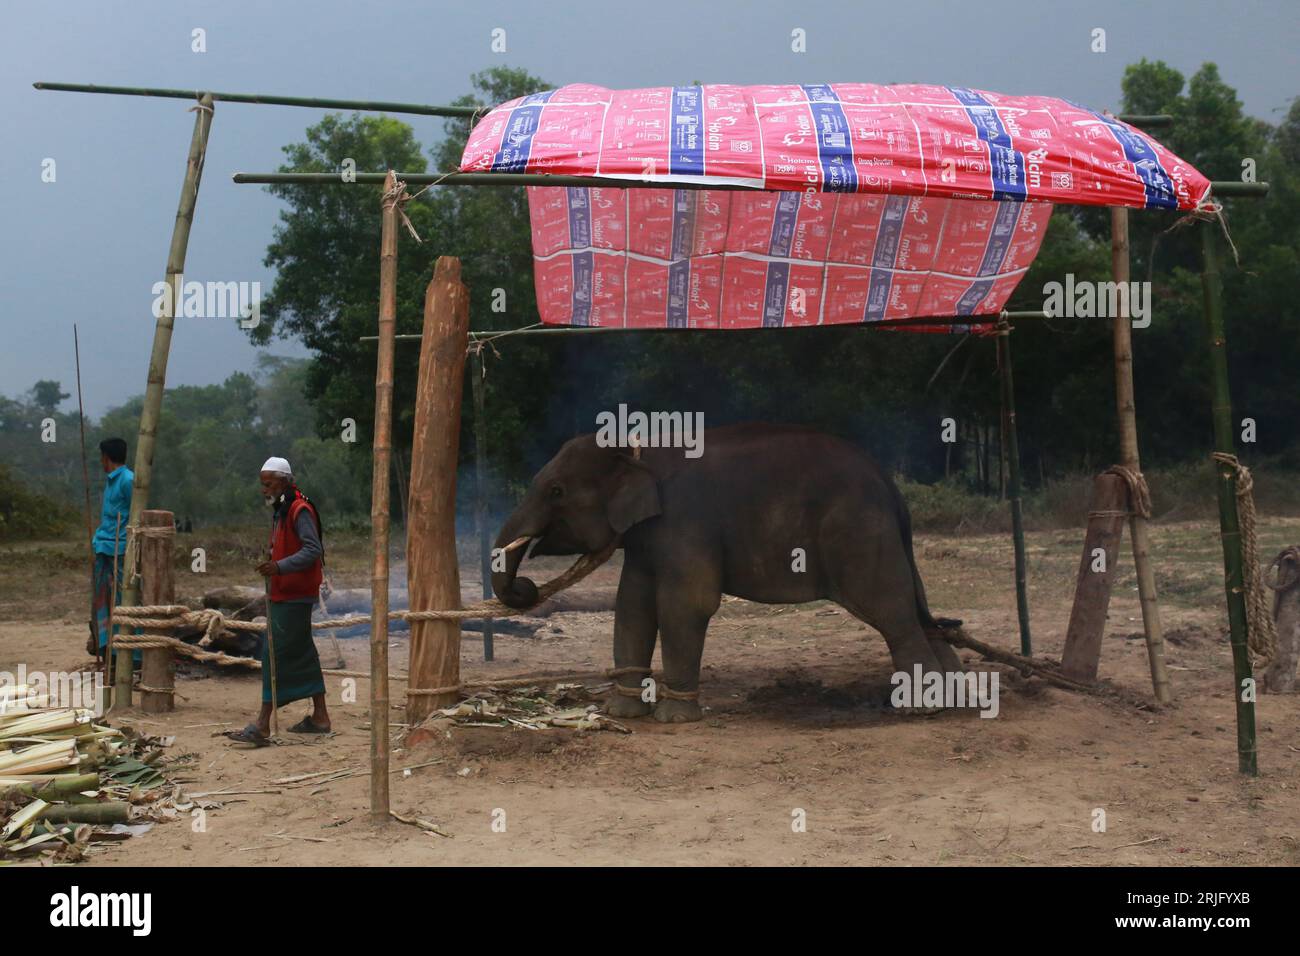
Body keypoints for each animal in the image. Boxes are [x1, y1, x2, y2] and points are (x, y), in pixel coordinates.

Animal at [491, 423, 962, 722]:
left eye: (556, 491)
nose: (526, 584)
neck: (639, 448)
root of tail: (889, 485)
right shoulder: (648, 538)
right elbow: (632, 606)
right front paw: (621, 714)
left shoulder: (685, 523)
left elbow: (686, 604)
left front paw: (674, 719)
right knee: (918, 611)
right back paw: (951, 695)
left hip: (859, 534)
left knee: (892, 613)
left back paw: (920, 708)